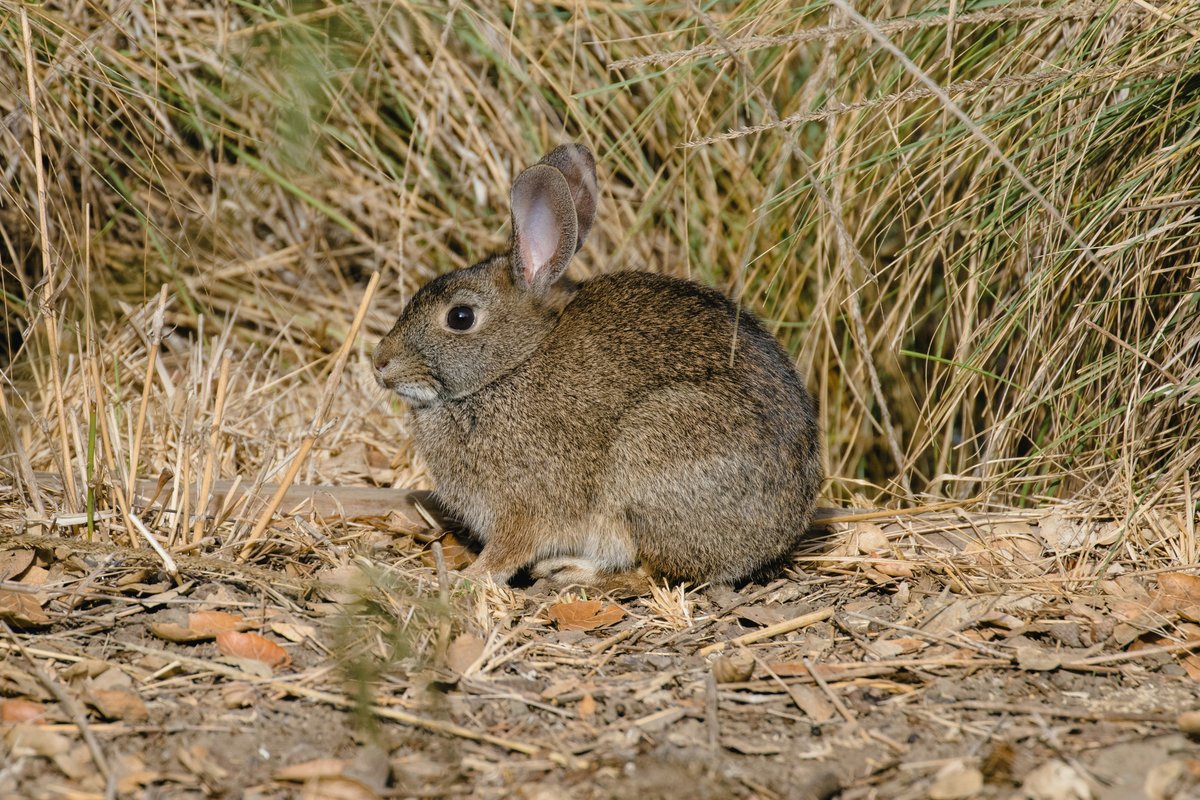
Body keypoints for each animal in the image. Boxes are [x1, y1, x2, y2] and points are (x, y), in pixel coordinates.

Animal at [372, 144, 822, 588]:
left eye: (460, 317)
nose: (380, 362)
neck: (510, 366)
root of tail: (780, 534)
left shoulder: (524, 504)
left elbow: (508, 550)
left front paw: (468, 578)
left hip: (647, 462)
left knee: (651, 572)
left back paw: (568, 570)